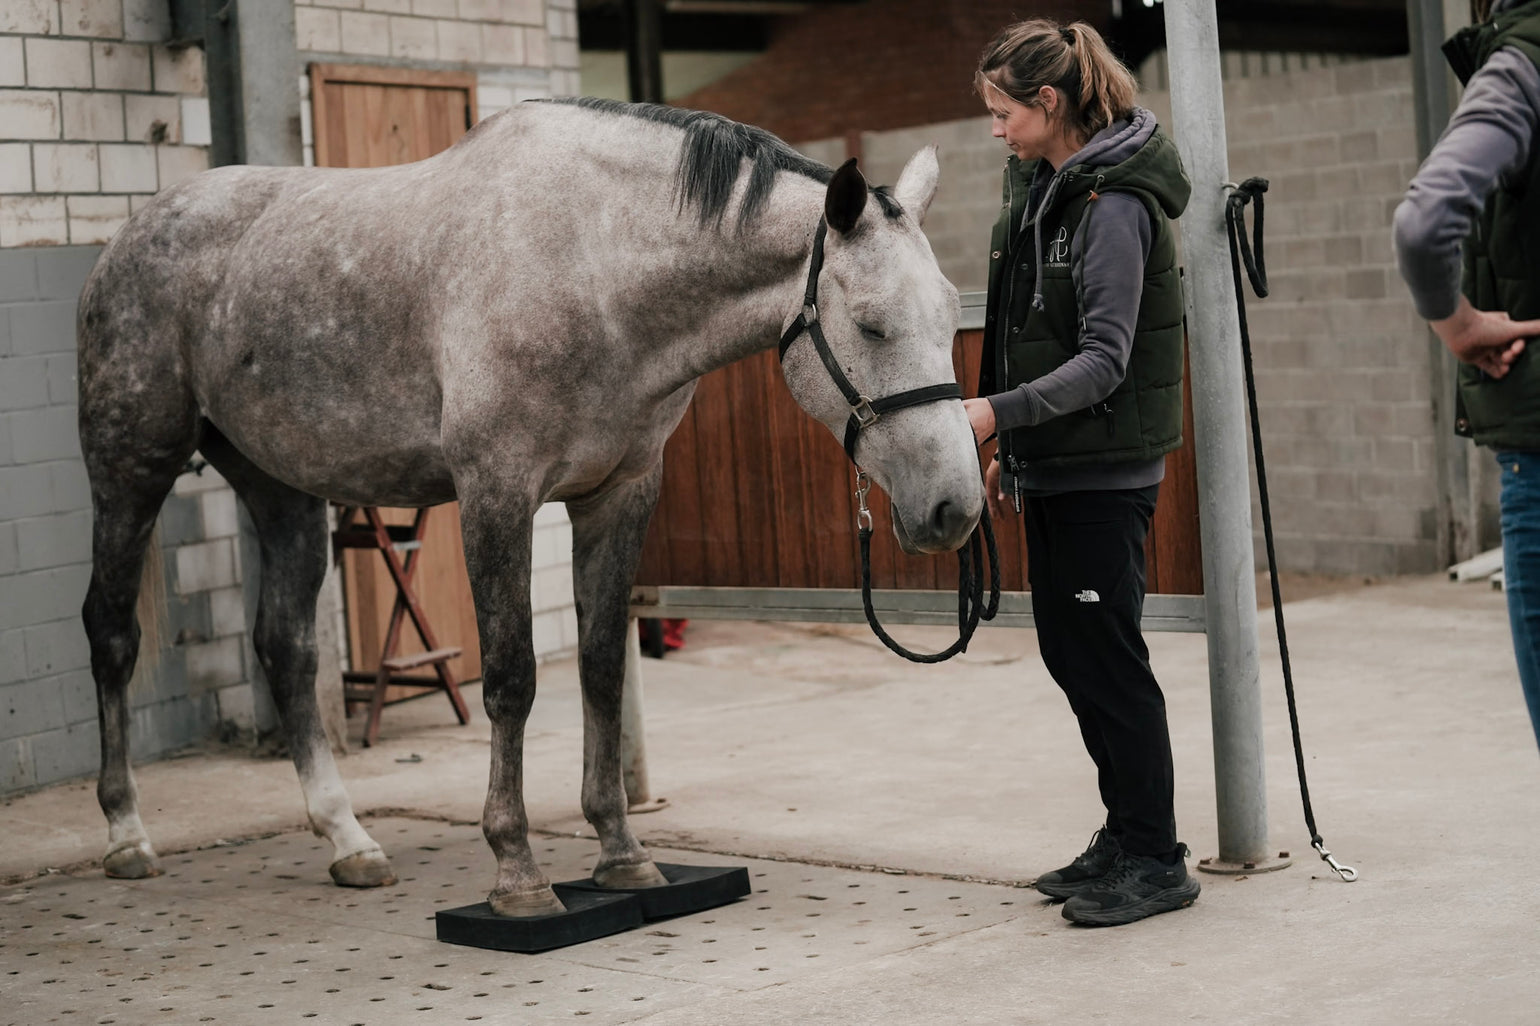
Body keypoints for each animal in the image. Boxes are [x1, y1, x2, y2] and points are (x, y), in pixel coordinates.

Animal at [76, 97, 982, 916]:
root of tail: (127, 236)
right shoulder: (497, 493)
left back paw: (348, 840)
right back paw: (125, 835)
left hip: (283, 489)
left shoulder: (619, 495)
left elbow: (600, 670)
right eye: (870, 325)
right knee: (112, 631)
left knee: (286, 650)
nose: (956, 509)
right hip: (131, 468)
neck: (592, 265)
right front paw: (516, 872)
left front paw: (622, 855)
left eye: (948, 314)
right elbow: (511, 679)